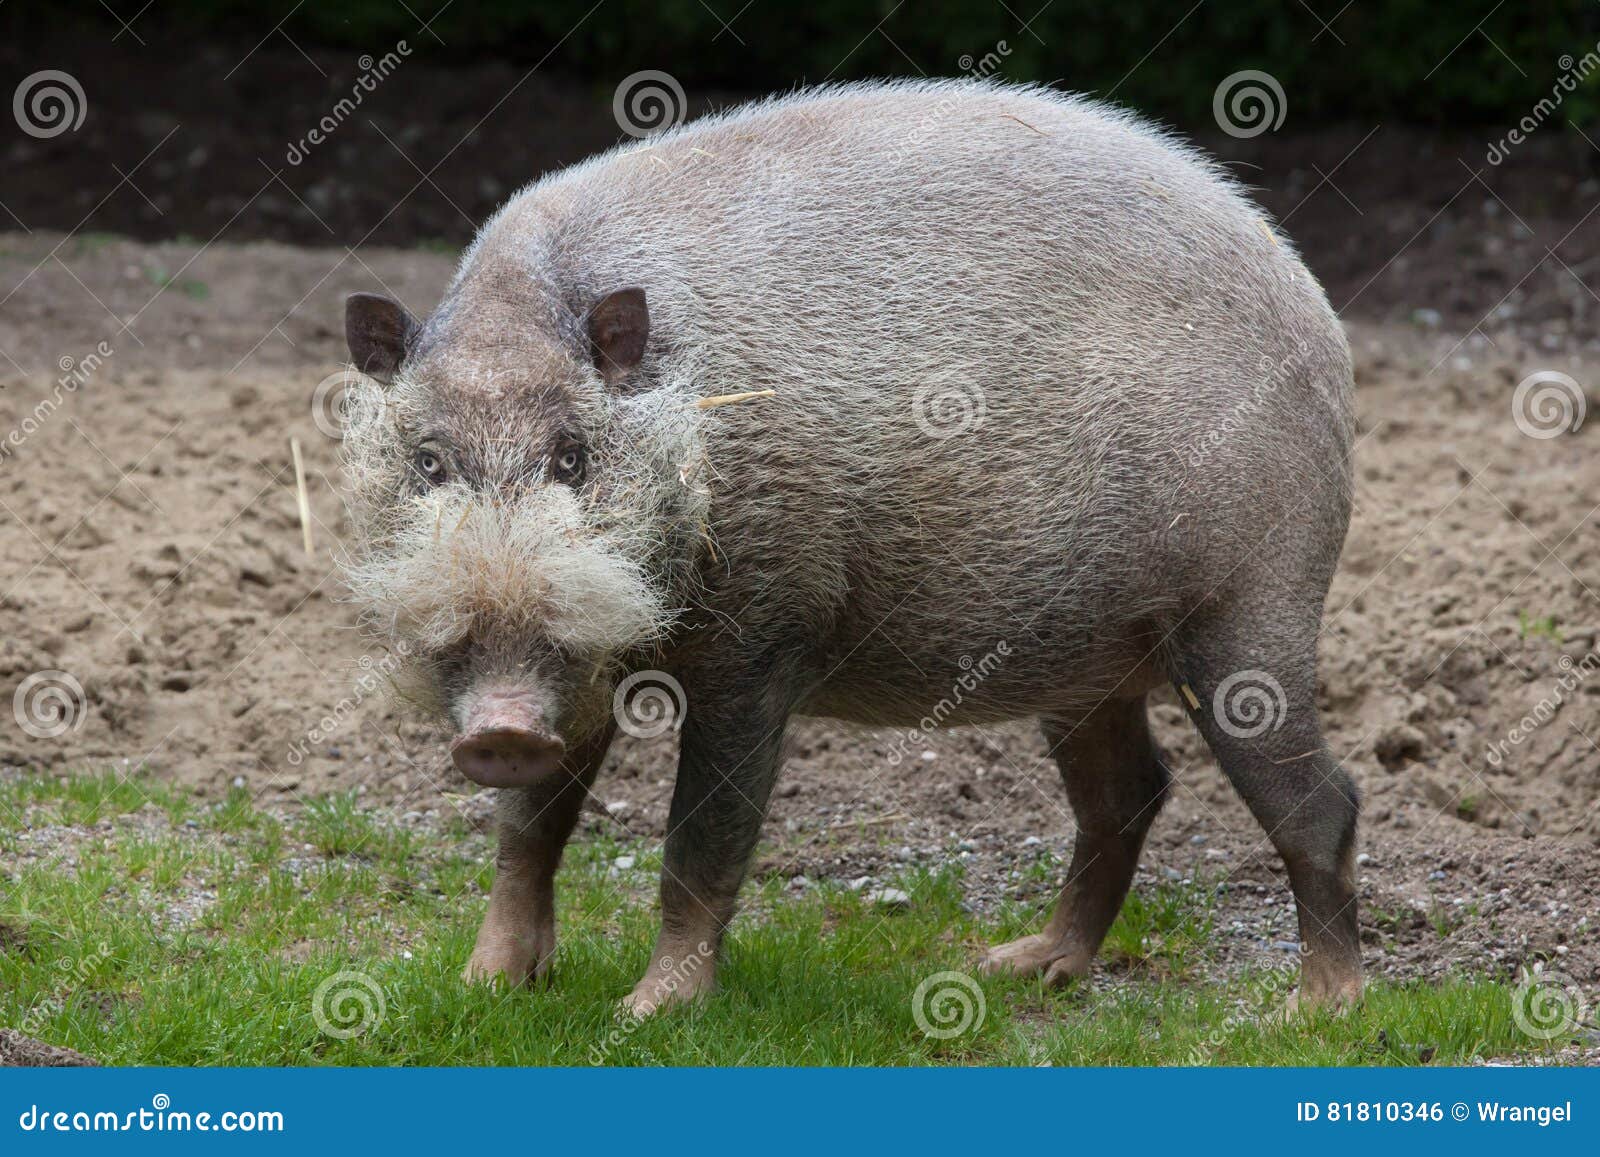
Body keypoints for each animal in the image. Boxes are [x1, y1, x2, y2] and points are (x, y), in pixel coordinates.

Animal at [339, 79, 1360, 1016]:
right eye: (427, 460)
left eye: (572, 454)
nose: (501, 728)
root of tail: (1319, 320)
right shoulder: (586, 659)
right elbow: (528, 828)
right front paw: (485, 988)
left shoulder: (762, 639)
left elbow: (700, 839)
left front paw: (645, 1012)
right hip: (1088, 661)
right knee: (1130, 792)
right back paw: (1026, 967)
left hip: (1251, 604)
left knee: (1324, 803)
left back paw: (1315, 1009)